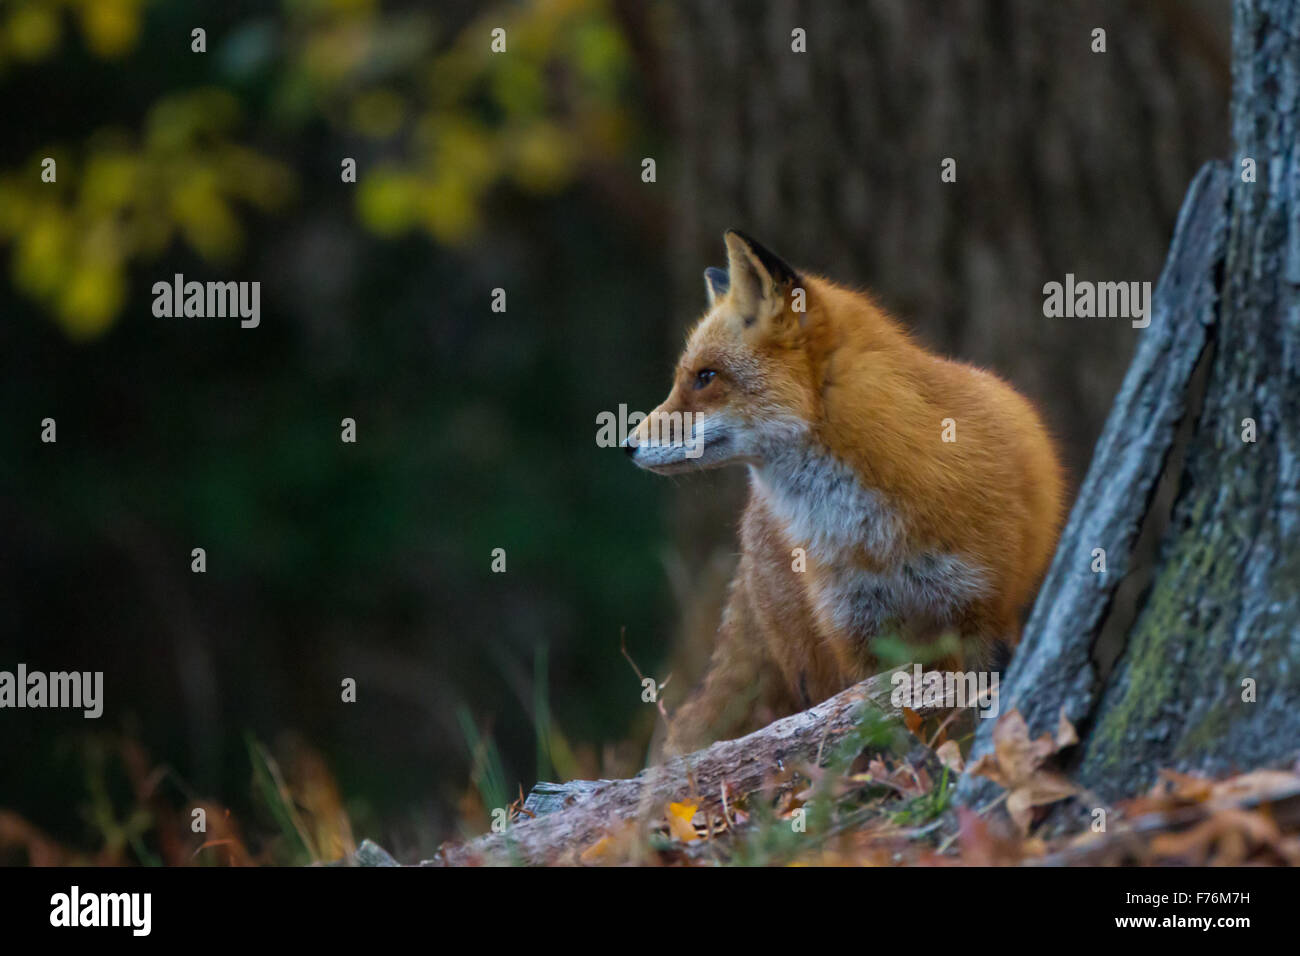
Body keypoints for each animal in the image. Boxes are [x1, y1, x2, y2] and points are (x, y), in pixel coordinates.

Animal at [625, 230, 1065, 754]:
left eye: (706, 376)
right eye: (685, 377)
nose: (626, 445)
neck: (873, 534)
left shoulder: (983, 614)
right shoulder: (855, 632)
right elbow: (872, 723)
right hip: (812, 655)